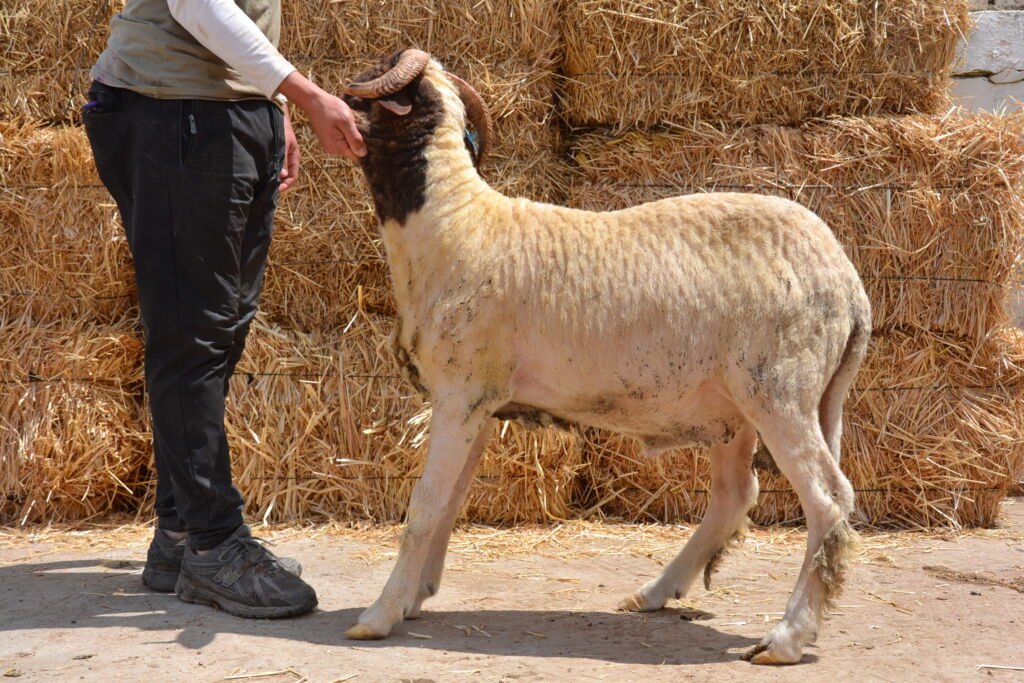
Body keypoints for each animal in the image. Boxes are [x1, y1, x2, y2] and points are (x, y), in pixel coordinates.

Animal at [338, 48, 871, 665]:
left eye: (364, 92)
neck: (455, 224)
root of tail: (849, 285)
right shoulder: (481, 403)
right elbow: (449, 502)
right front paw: (415, 597)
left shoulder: (459, 395)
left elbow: (424, 507)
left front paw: (377, 616)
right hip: (738, 409)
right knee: (736, 495)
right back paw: (657, 592)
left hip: (780, 390)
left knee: (828, 501)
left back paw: (785, 638)